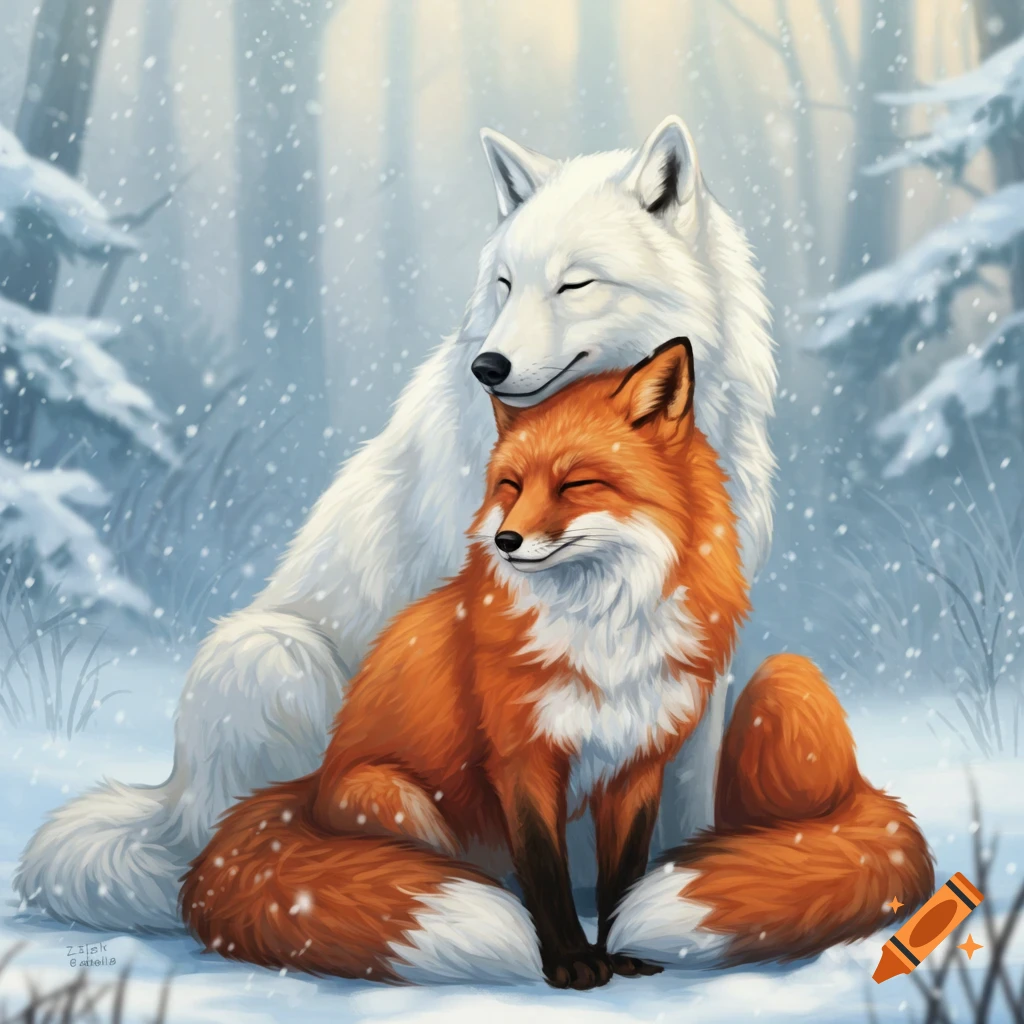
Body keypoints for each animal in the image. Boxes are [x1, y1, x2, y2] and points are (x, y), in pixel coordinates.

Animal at [17, 115, 777, 932]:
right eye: (505, 283)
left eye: (575, 283)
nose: (487, 366)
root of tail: (169, 806)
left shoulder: (696, 657)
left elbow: (685, 798)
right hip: (273, 658)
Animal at [181, 341, 933, 989]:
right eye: (511, 485)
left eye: (577, 484)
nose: (506, 540)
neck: (606, 630)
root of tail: (303, 789)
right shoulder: (524, 758)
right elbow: (544, 871)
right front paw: (571, 962)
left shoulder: (639, 759)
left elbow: (624, 870)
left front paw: (623, 947)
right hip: (388, 793)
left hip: (786, 677)